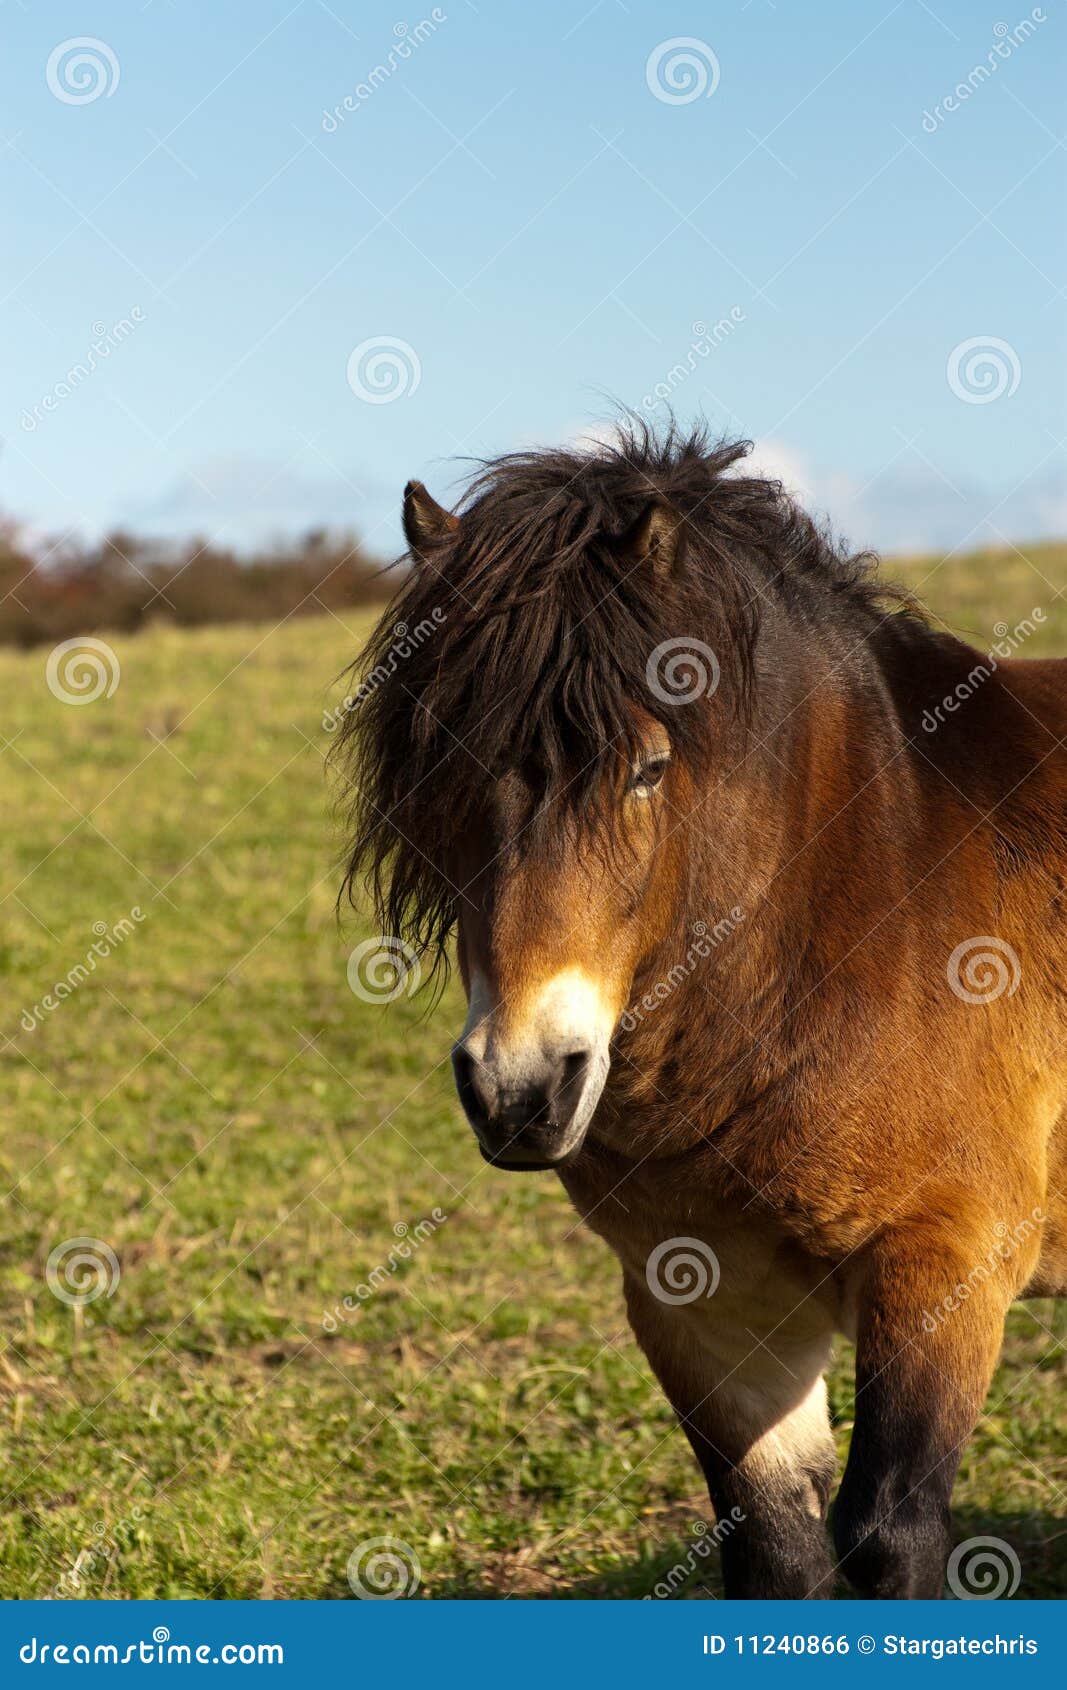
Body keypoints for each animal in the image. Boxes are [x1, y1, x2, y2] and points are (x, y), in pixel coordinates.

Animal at [336, 424, 1067, 1600]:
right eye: (438, 773)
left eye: (646, 768)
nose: (521, 1088)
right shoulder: (701, 1302)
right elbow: (772, 1546)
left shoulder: (946, 1264)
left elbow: (889, 1533)